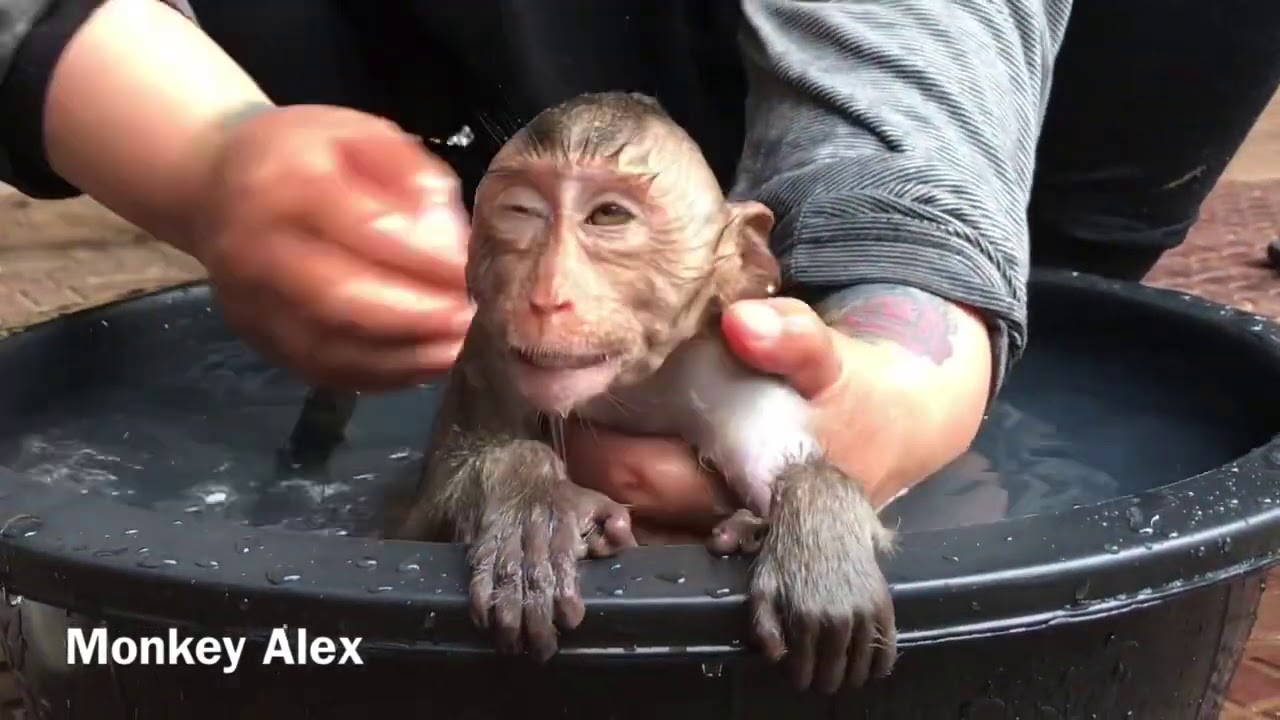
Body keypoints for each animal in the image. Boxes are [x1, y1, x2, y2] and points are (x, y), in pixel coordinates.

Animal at [386, 92, 897, 695]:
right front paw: (532, 503)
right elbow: (416, 523)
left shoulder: (717, 368)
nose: (547, 295)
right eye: (521, 211)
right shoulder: (489, 354)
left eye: (608, 216)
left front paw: (817, 522)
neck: (629, 389)